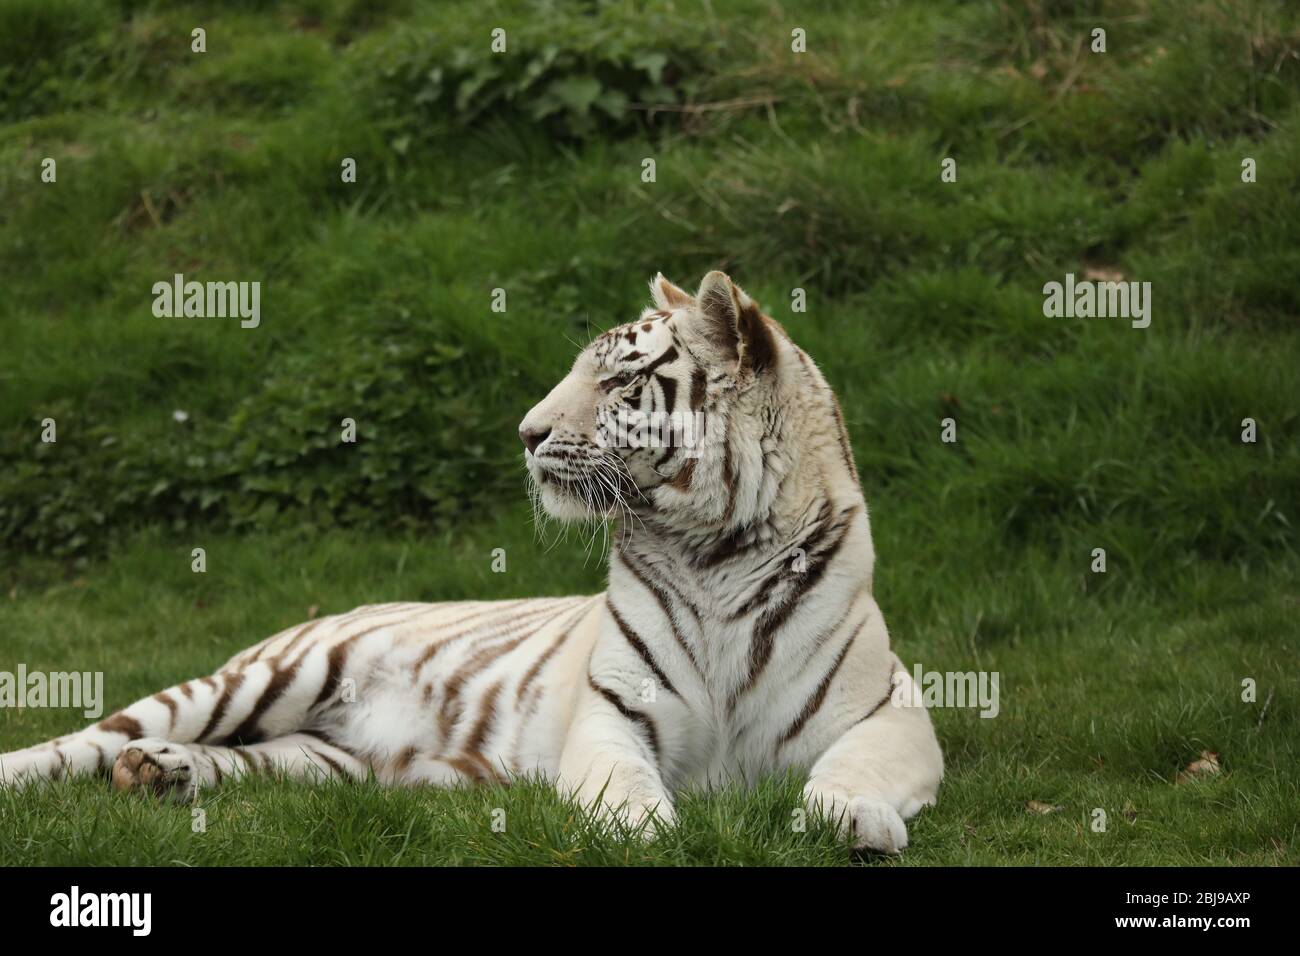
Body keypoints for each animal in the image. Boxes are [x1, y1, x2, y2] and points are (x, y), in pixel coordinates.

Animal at [0, 271, 943, 853]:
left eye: (618, 383)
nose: (525, 432)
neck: (716, 550)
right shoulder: (614, 714)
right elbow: (623, 788)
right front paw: (646, 836)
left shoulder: (892, 711)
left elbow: (853, 769)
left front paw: (850, 821)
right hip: (261, 678)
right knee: (88, 739)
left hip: (323, 764)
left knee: (238, 763)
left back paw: (161, 775)